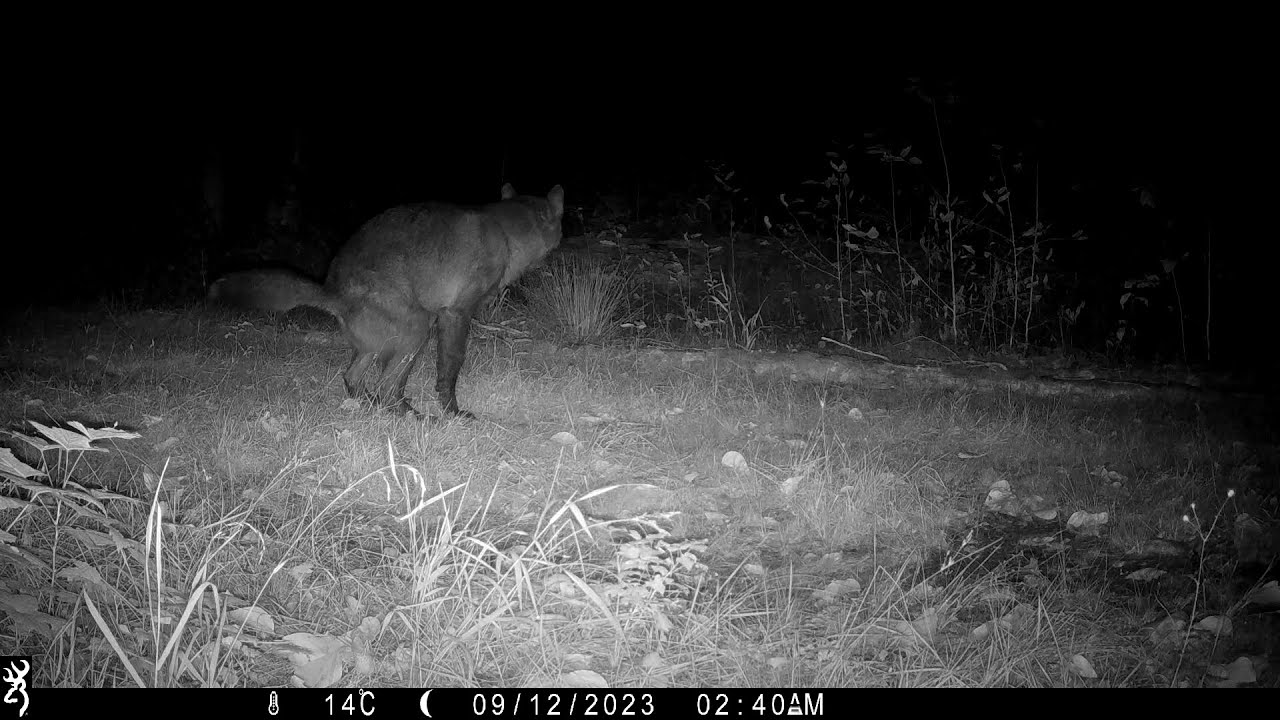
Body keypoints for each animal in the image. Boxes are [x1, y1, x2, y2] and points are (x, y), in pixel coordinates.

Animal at [210, 184, 564, 419]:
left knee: (357, 379)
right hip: (419, 329)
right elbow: (450, 370)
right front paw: (452, 412)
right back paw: (411, 417)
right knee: (385, 388)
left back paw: (374, 406)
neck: (504, 233)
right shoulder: (456, 313)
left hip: (385, 345)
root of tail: (332, 293)